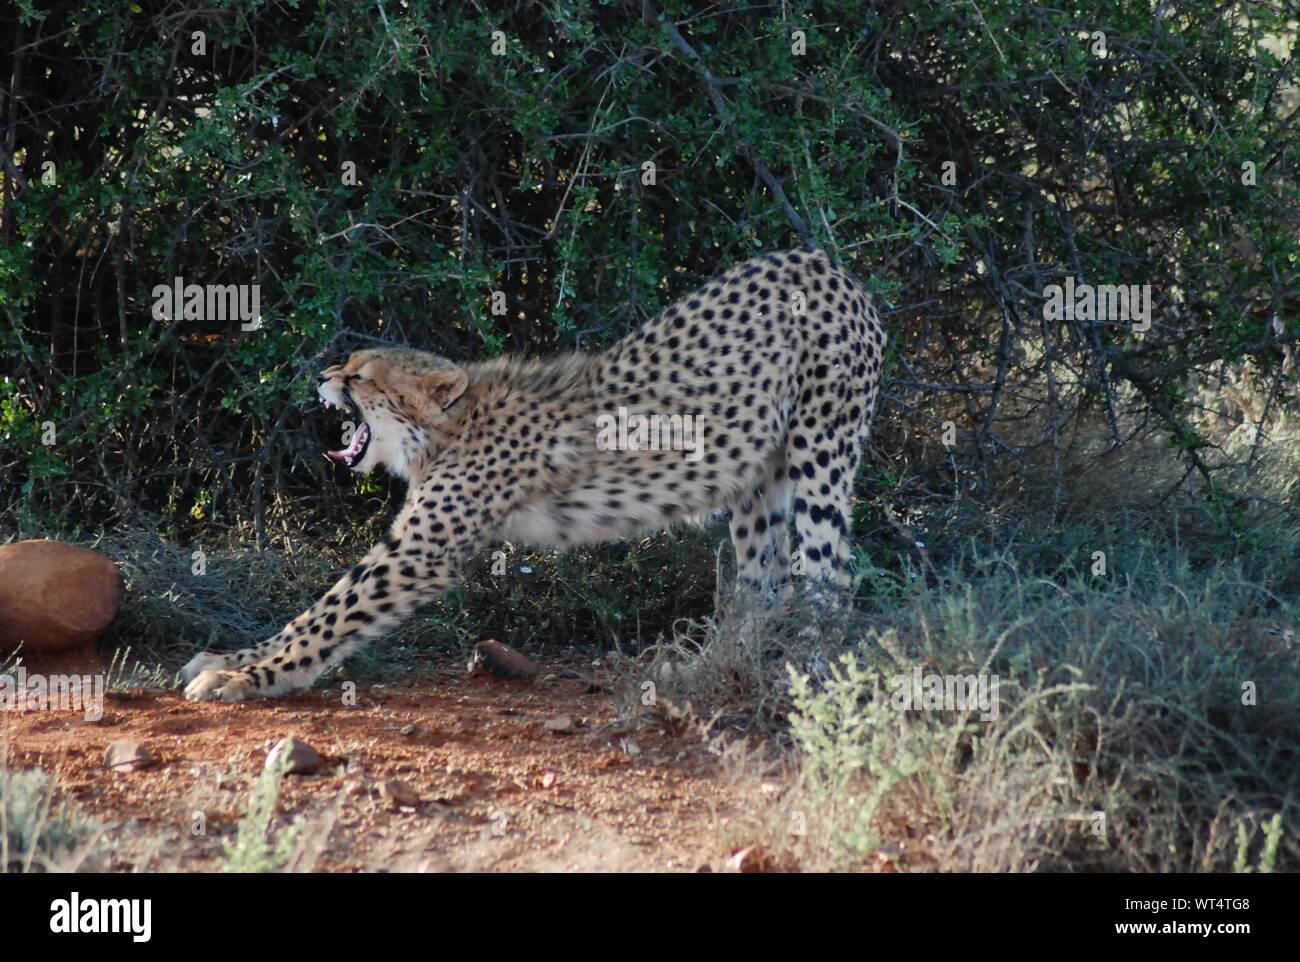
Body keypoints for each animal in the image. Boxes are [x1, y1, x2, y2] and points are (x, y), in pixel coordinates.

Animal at [182, 247, 887, 701]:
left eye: (359, 376)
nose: (322, 377)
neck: (448, 428)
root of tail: (826, 263)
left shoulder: (420, 552)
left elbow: (330, 612)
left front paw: (251, 678)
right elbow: (312, 611)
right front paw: (232, 657)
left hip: (821, 450)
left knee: (831, 579)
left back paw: (813, 684)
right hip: (755, 476)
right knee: (764, 584)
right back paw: (710, 671)